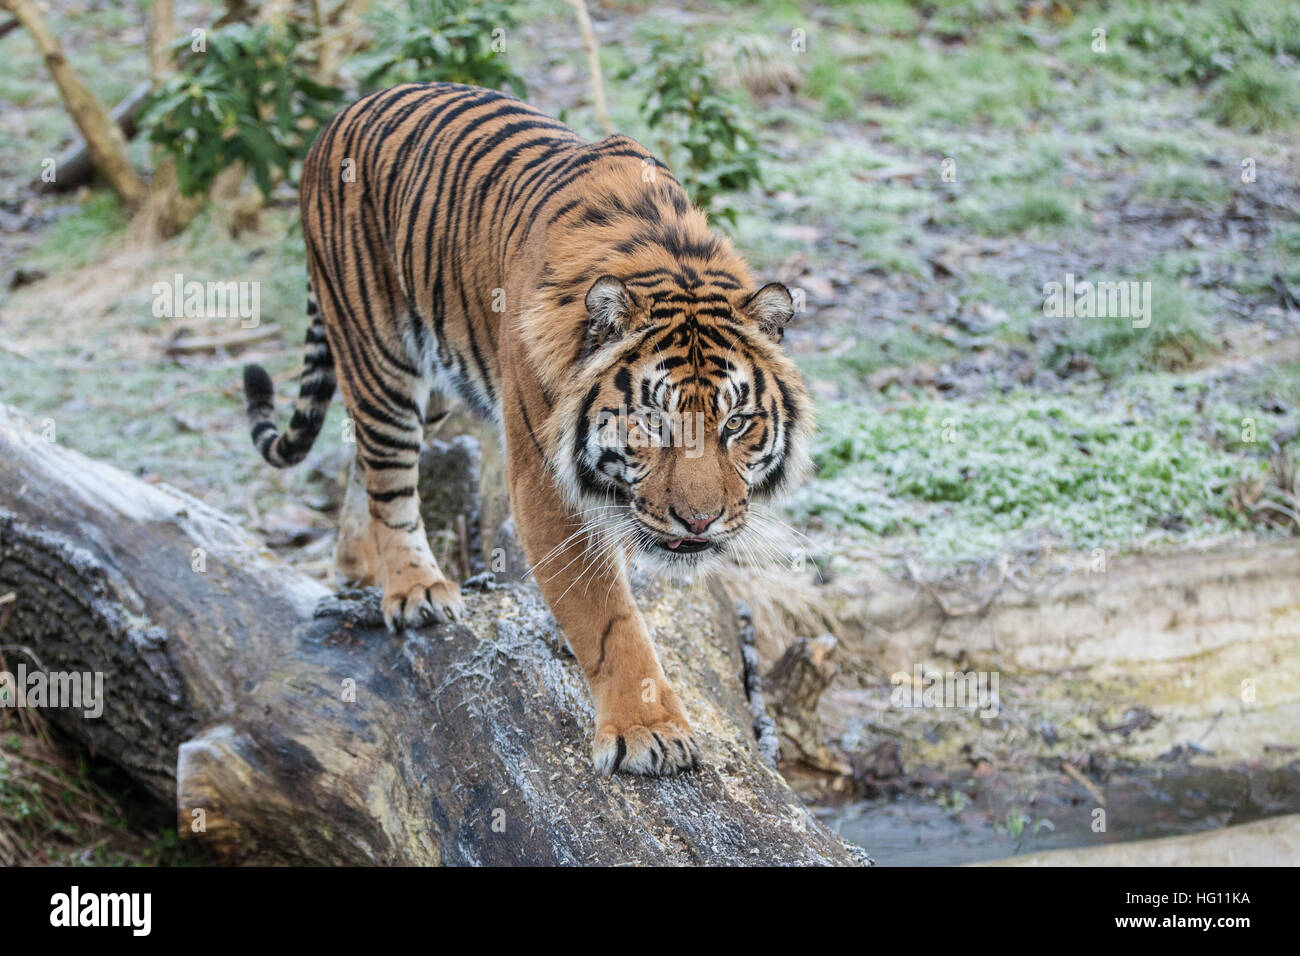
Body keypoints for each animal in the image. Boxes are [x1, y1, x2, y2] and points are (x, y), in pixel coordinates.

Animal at [242, 82, 813, 776]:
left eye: (735, 422)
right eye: (652, 421)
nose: (700, 522)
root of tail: (341, 114)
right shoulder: (544, 483)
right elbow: (606, 615)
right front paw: (646, 729)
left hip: (439, 379)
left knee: (364, 463)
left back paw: (357, 566)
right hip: (379, 353)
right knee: (388, 472)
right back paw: (413, 588)